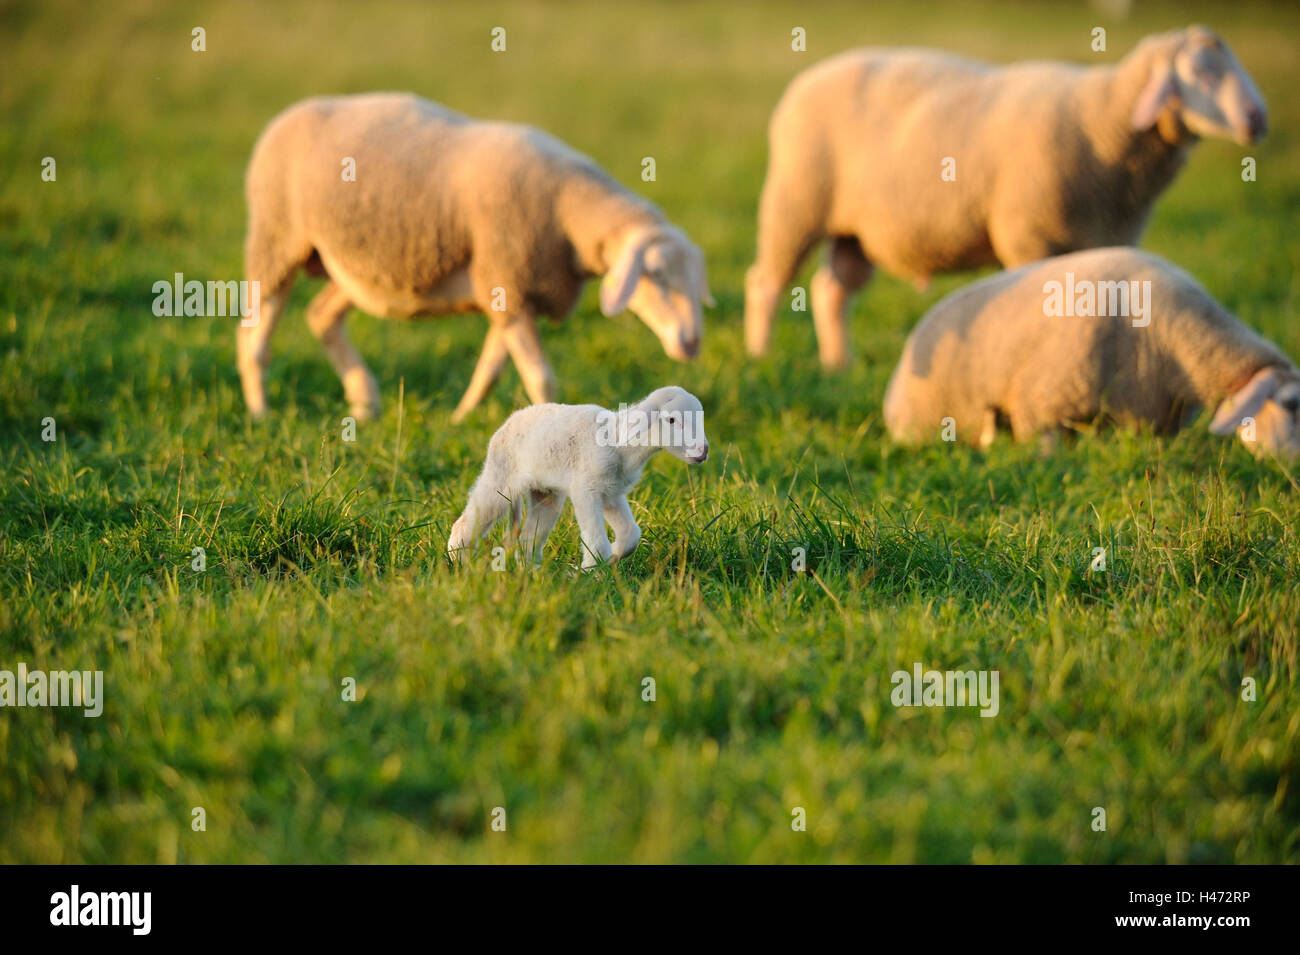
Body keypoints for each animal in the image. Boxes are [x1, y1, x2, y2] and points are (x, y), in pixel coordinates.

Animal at [239, 93, 712, 423]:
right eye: (655, 274)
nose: (692, 345)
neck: (568, 211)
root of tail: (291, 111)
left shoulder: (509, 289)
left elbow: (491, 368)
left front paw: (461, 416)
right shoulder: (506, 278)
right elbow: (540, 376)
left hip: (350, 268)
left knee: (321, 317)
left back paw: (365, 404)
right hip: (276, 239)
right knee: (254, 335)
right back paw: (261, 412)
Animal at [447, 386, 710, 569]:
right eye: (672, 420)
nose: (703, 451)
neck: (618, 442)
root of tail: (508, 422)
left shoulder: (611, 492)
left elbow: (630, 535)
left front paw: (614, 556)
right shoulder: (586, 489)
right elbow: (598, 544)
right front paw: (587, 574)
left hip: (546, 495)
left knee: (528, 538)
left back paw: (531, 572)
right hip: (500, 479)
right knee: (467, 520)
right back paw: (459, 562)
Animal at [745, 25, 1269, 369]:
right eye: (1199, 73)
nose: (1258, 119)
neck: (1106, 119)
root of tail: (808, 77)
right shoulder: (1028, 238)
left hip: (853, 229)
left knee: (831, 291)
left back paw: (839, 364)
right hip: (795, 204)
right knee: (766, 283)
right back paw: (760, 354)